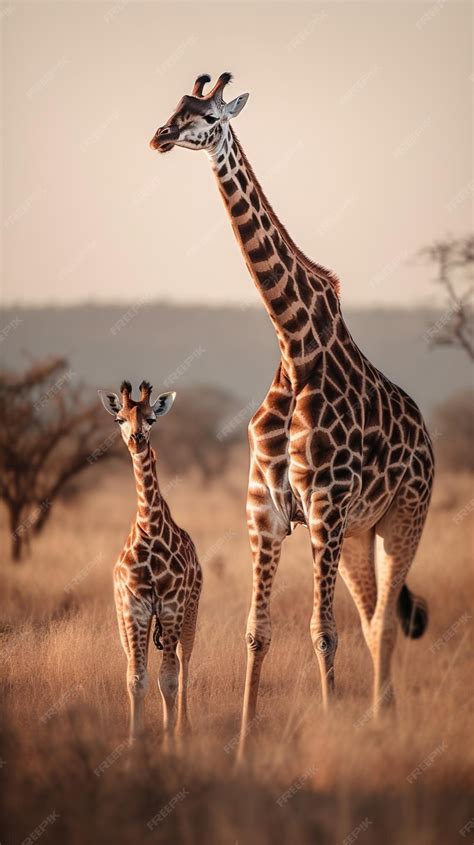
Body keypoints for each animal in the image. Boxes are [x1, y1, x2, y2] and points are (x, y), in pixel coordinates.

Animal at [99, 380, 202, 747]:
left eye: (152, 418)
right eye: (119, 419)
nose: (137, 439)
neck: (150, 528)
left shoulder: (171, 606)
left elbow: (168, 679)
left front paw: (171, 744)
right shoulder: (135, 609)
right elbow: (136, 679)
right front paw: (135, 746)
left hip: (190, 610)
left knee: (184, 662)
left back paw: (184, 728)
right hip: (125, 619)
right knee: (137, 664)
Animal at [149, 73, 434, 758]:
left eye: (208, 117)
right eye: (176, 107)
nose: (160, 136)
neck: (295, 346)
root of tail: (429, 438)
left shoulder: (324, 507)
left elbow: (321, 630)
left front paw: (330, 734)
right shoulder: (266, 512)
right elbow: (260, 631)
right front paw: (243, 746)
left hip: (403, 518)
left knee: (382, 622)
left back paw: (379, 725)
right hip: (361, 533)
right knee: (373, 618)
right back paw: (380, 717)